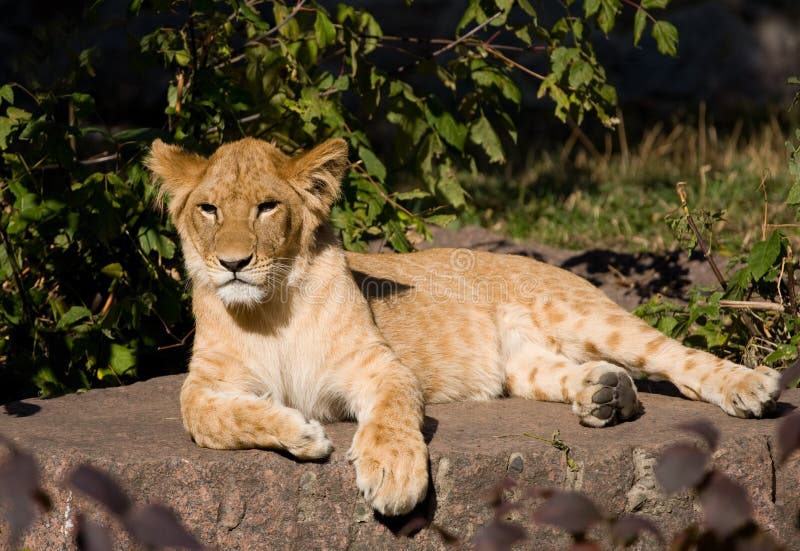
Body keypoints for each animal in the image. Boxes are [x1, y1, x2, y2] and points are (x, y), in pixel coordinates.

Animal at [147, 136, 782, 516]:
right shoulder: (203, 387)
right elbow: (211, 419)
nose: (232, 263)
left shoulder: (383, 367)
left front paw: (394, 475)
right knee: (567, 372)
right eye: (208, 209)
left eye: (267, 207)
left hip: (587, 315)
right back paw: (605, 395)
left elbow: (392, 419)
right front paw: (299, 432)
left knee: (675, 354)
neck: (271, 309)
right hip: (523, 367)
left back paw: (749, 387)